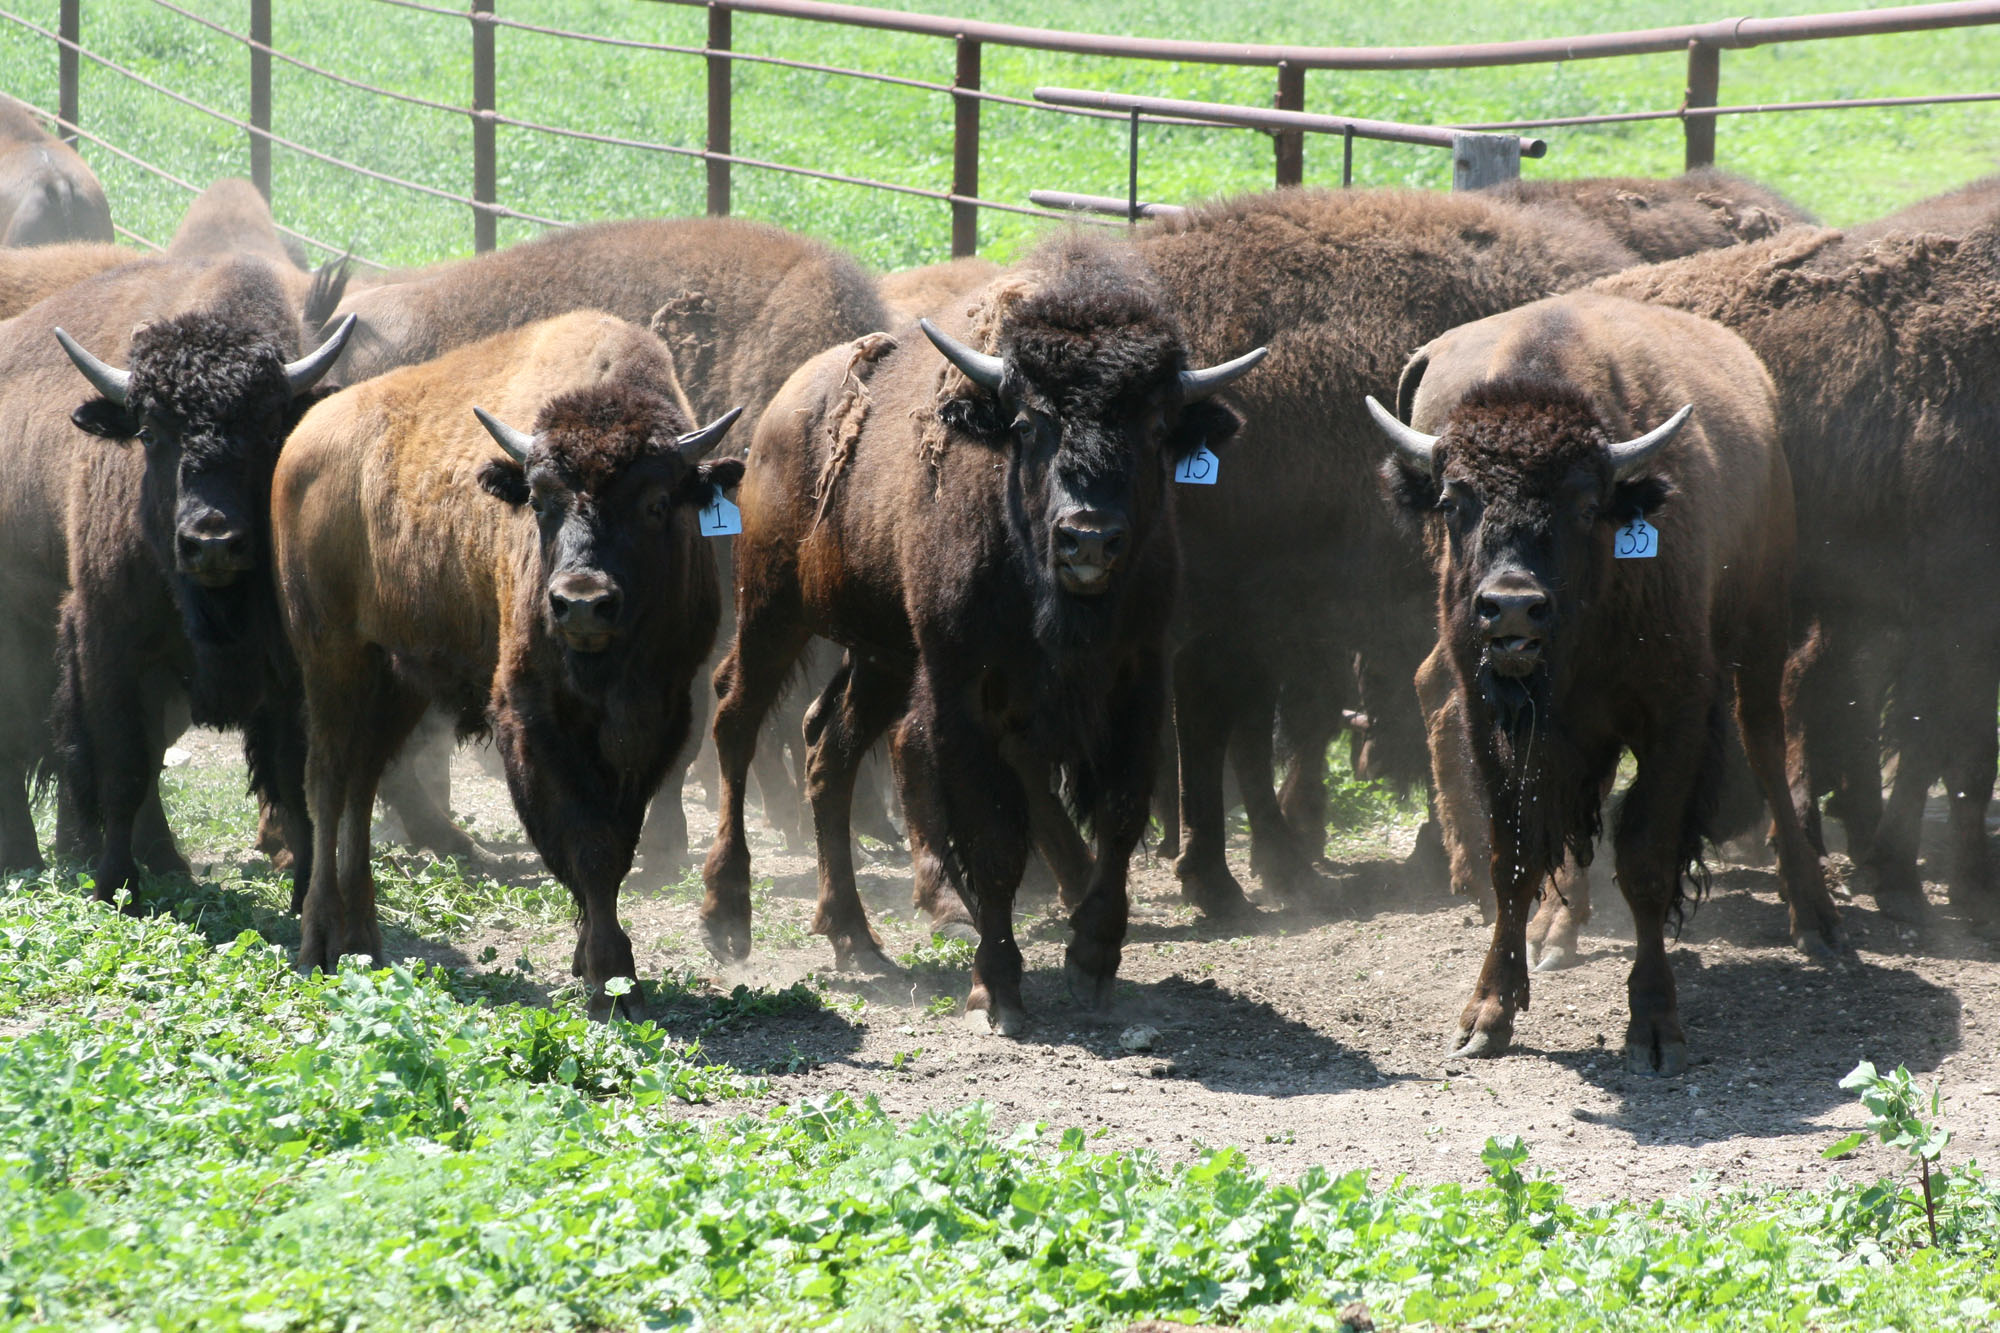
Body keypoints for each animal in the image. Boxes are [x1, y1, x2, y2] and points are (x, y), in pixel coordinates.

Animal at [272, 311, 740, 1013]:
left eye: (658, 503)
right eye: (540, 503)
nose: (581, 603)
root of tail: (302, 440)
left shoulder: (655, 718)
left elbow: (616, 840)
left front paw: (592, 963)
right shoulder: (532, 714)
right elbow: (588, 845)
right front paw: (612, 981)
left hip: (395, 676)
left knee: (361, 780)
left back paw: (364, 944)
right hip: (331, 656)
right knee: (326, 781)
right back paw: (319, 946)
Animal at [701, 235, 1263, 1031]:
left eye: (1156, 429)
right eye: (1027, 425)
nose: (1087, 539)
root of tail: (782, 408)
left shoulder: (1137, 676)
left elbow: (1121, 812)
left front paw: (1094, 963)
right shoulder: (965, 687)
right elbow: (994, 836)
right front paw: (996, 989)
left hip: (883, 655)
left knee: (827, 746)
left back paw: (855, 939)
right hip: (774, 611)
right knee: (736, 719)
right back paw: (727, 915)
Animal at [1369, 289, 1834, 1073]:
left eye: (1586, 504)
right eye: (1455, 501)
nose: (1511, 606)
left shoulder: (1674, 714)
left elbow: (1645, 859)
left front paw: (1655, 1024)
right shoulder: (1501, 728)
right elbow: (1512, 856)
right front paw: (1486, 1014)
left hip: (1761, 628)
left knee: (1766, 743)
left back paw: (1817, 921)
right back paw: (1556, 930)